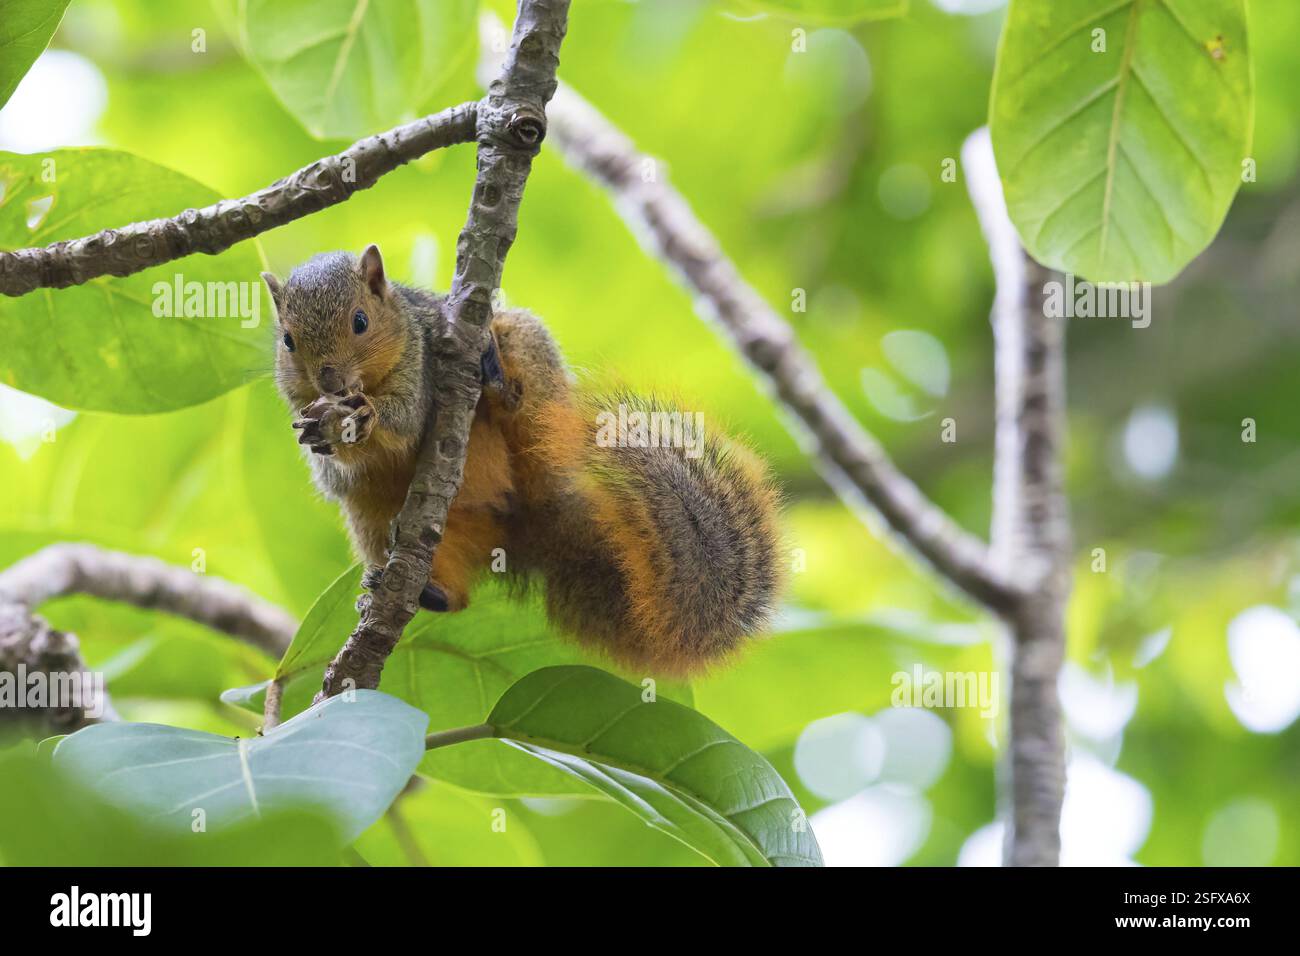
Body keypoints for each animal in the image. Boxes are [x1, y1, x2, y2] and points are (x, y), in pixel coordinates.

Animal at [260, 245, 783, 677]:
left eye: (360, 321)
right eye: (288, 341)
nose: (330, 380)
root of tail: (526, 526)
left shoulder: (421, 361)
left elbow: (406, 416)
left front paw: (357, 417)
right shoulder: (297, 405)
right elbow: (334, 474)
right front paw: (329, 428)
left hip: (529, 372)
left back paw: (498, 380)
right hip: (371, 521)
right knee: (450, 594)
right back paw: (422, 589)